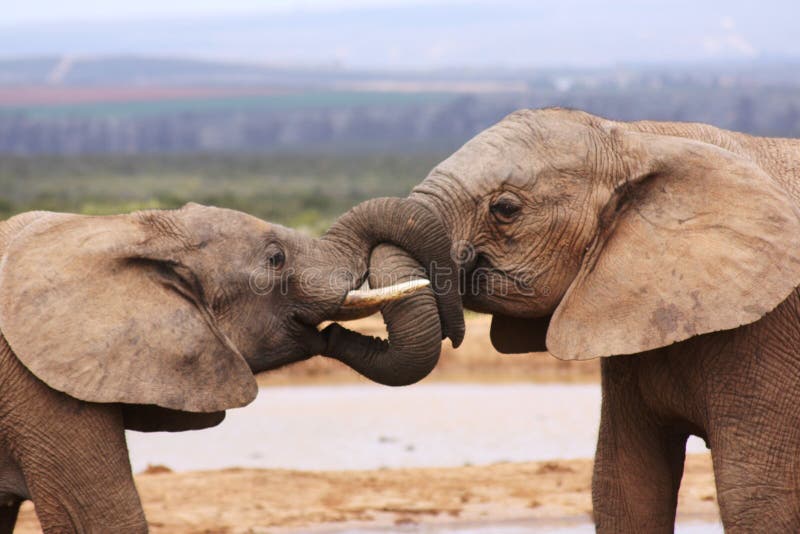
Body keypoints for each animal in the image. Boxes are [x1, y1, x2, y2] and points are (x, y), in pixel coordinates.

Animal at [334, 108, 800, 532]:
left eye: (505, 208)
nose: (327, 333)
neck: (639, 138)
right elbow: (625, 488)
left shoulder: (766, 330)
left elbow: (756, 500)